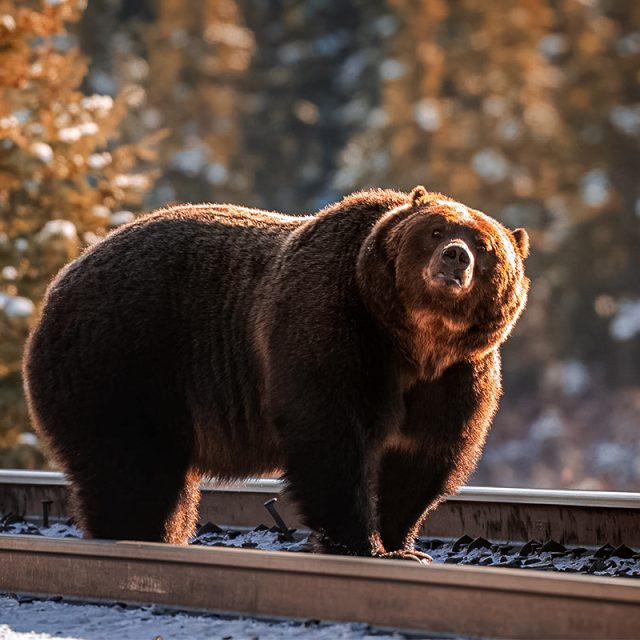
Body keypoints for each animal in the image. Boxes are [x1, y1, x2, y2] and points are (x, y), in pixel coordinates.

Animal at [23, 186, 529, 561]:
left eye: (485, 245)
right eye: (436, 229)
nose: (455, 256)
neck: (414, 341)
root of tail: (61, 278)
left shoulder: (455, 377)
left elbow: (424, 456)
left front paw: (402, 545)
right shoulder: (333, 329)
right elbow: (332, 439)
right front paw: (358, 542)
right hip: (121, 362)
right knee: (130, 468)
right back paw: (135, 533)